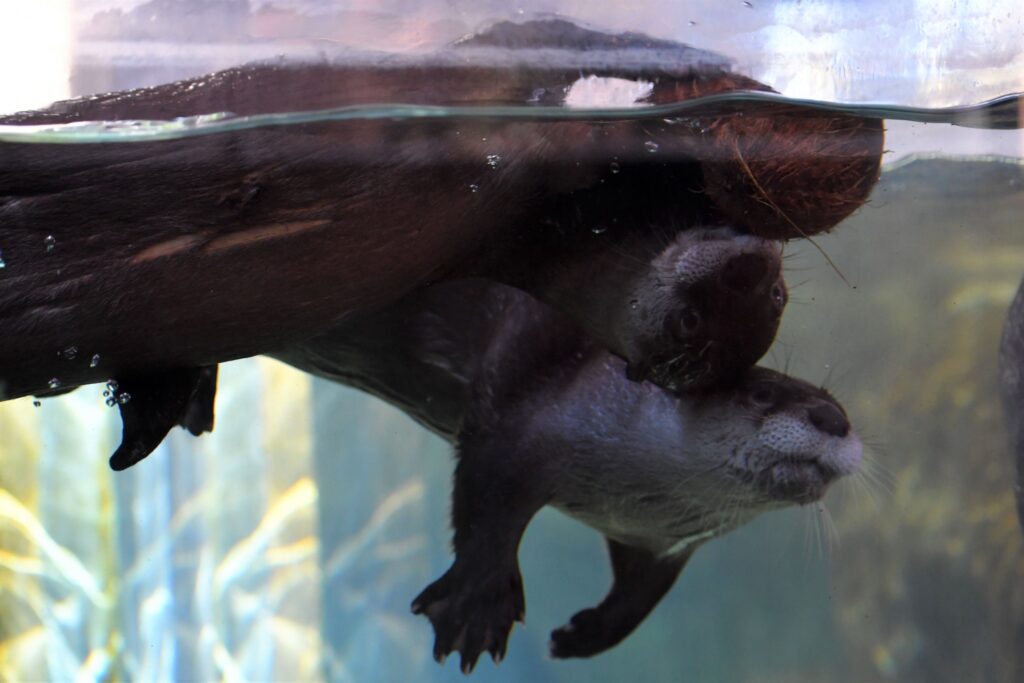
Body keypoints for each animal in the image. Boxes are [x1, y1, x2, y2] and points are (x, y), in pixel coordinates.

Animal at [272, 278, 861, 672]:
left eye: (837, 403)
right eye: (762, 394)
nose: (835, 421)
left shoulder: (657, 540)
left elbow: (639, 598)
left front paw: (581, 636)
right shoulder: (515, 425)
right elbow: (485, 513)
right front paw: (474, 609)